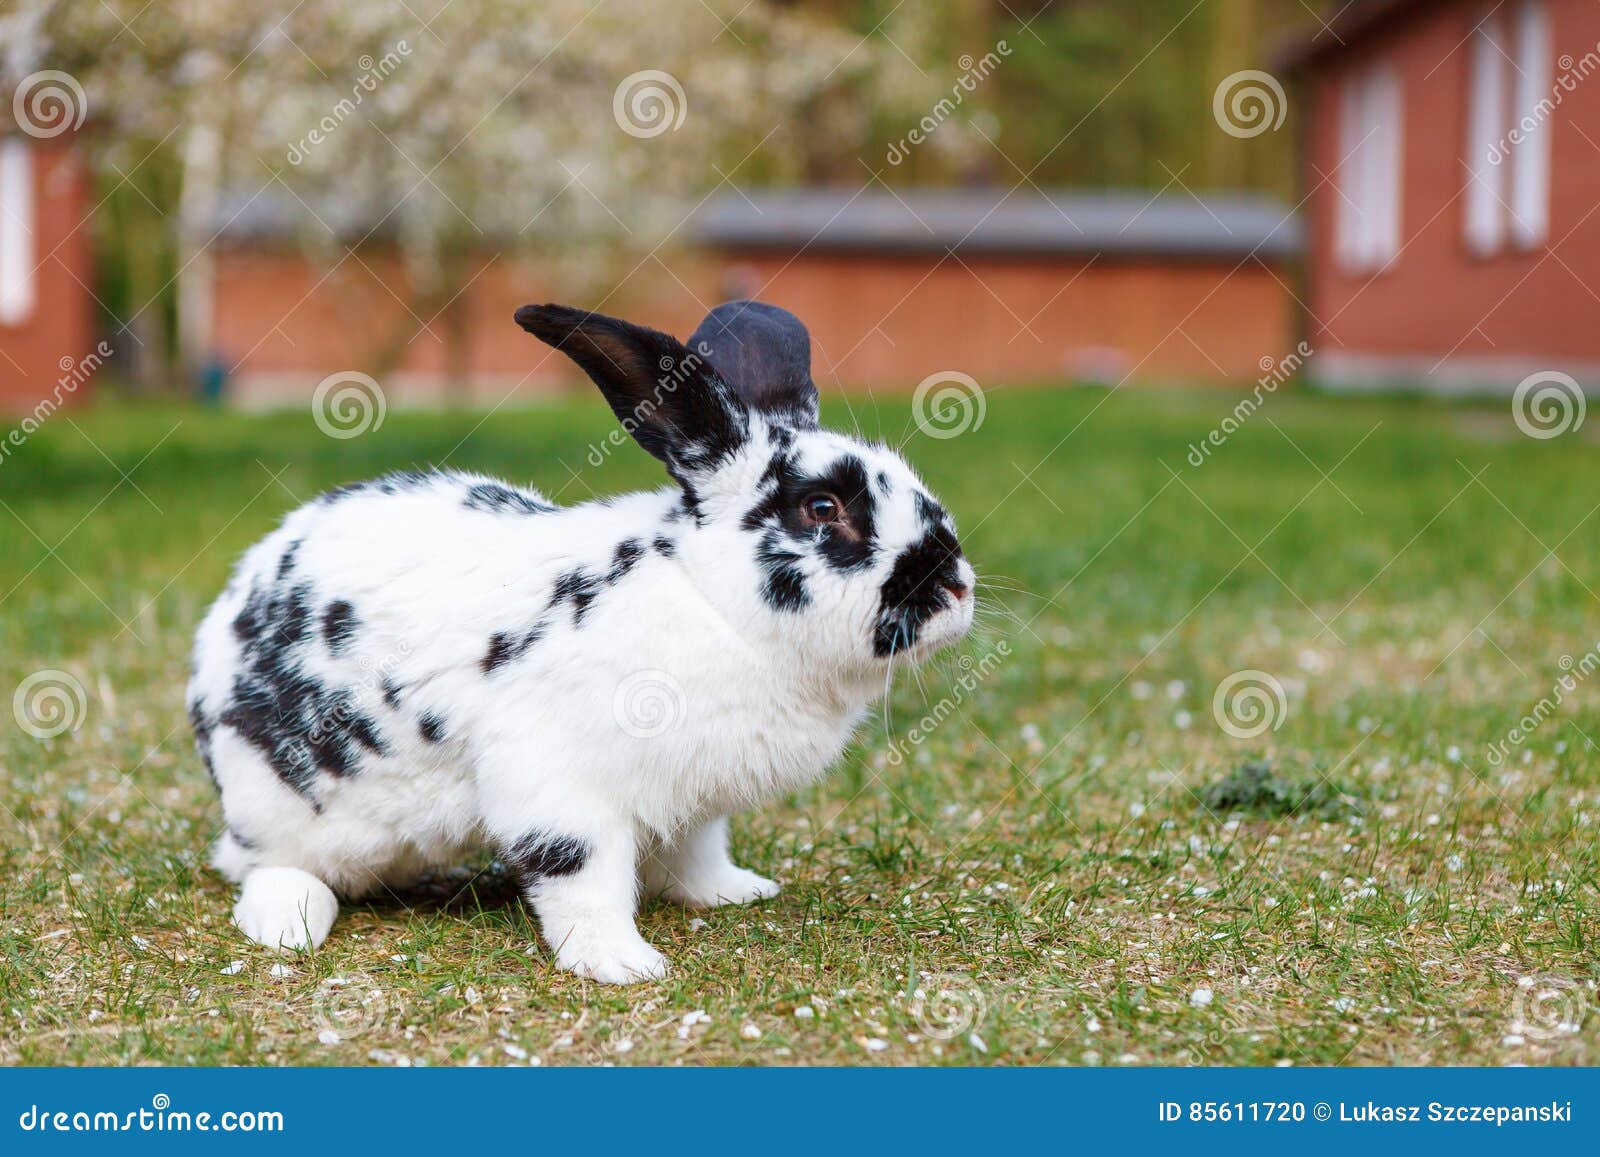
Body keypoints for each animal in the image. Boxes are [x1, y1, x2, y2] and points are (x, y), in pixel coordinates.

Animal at [186, 299, 976, 983]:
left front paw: (736, 891)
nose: (955, 587)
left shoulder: (694, 803)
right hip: (282, 803)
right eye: (821, 507)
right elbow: (584, 878)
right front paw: (625, 965)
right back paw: (290, 924)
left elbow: (696, 854)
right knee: (268, 865)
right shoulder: (558, 786)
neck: (707, 599)